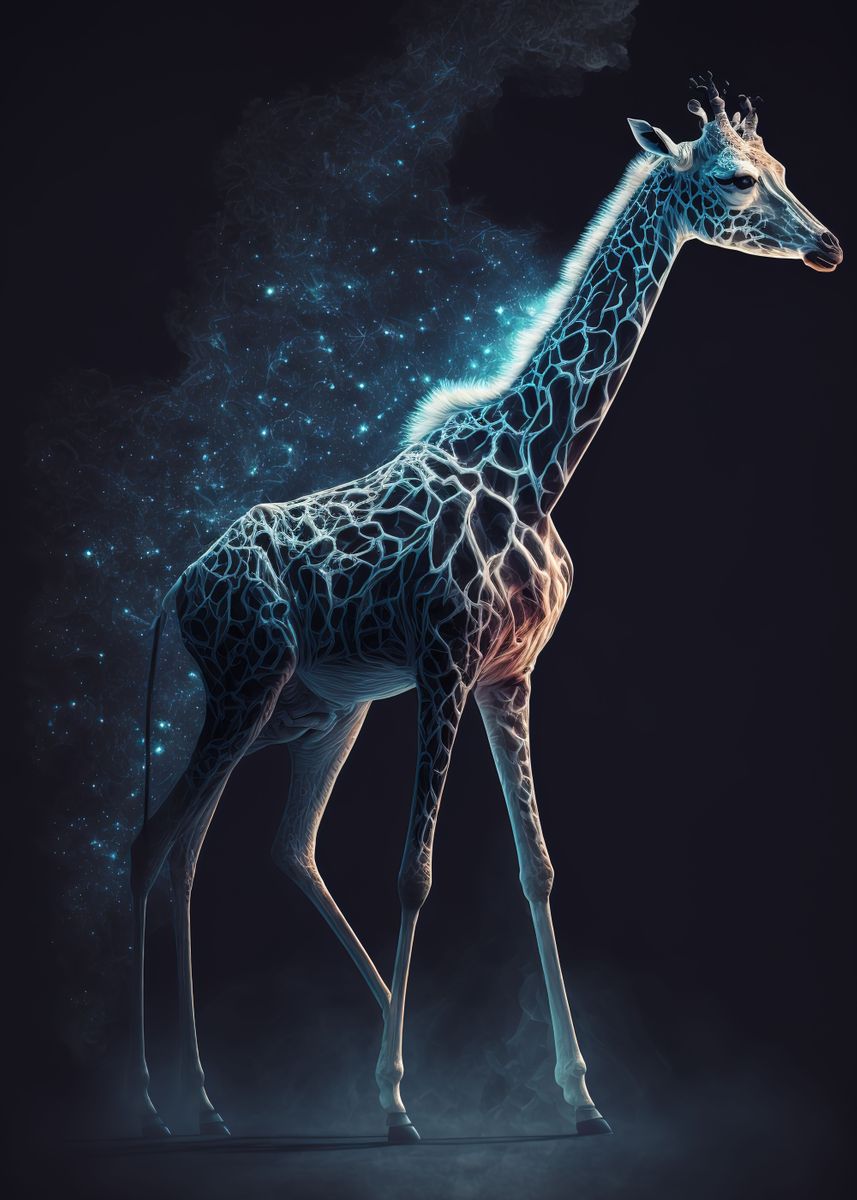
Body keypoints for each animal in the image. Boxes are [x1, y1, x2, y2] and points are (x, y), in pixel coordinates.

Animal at [129, 75, 842, 1142]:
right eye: (734, 179)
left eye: (785, 167)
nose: (828, 245)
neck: (539, 466)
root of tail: (177, 588)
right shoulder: (445, 664)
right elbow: (414, 870)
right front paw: (392, 1104)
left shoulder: (510, 674)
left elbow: (536, 867)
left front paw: (581, 1096)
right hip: (248, 688)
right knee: (155, 846)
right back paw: (165, 1102)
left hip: (314, 709)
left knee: (249, 848)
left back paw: (254, 1084)